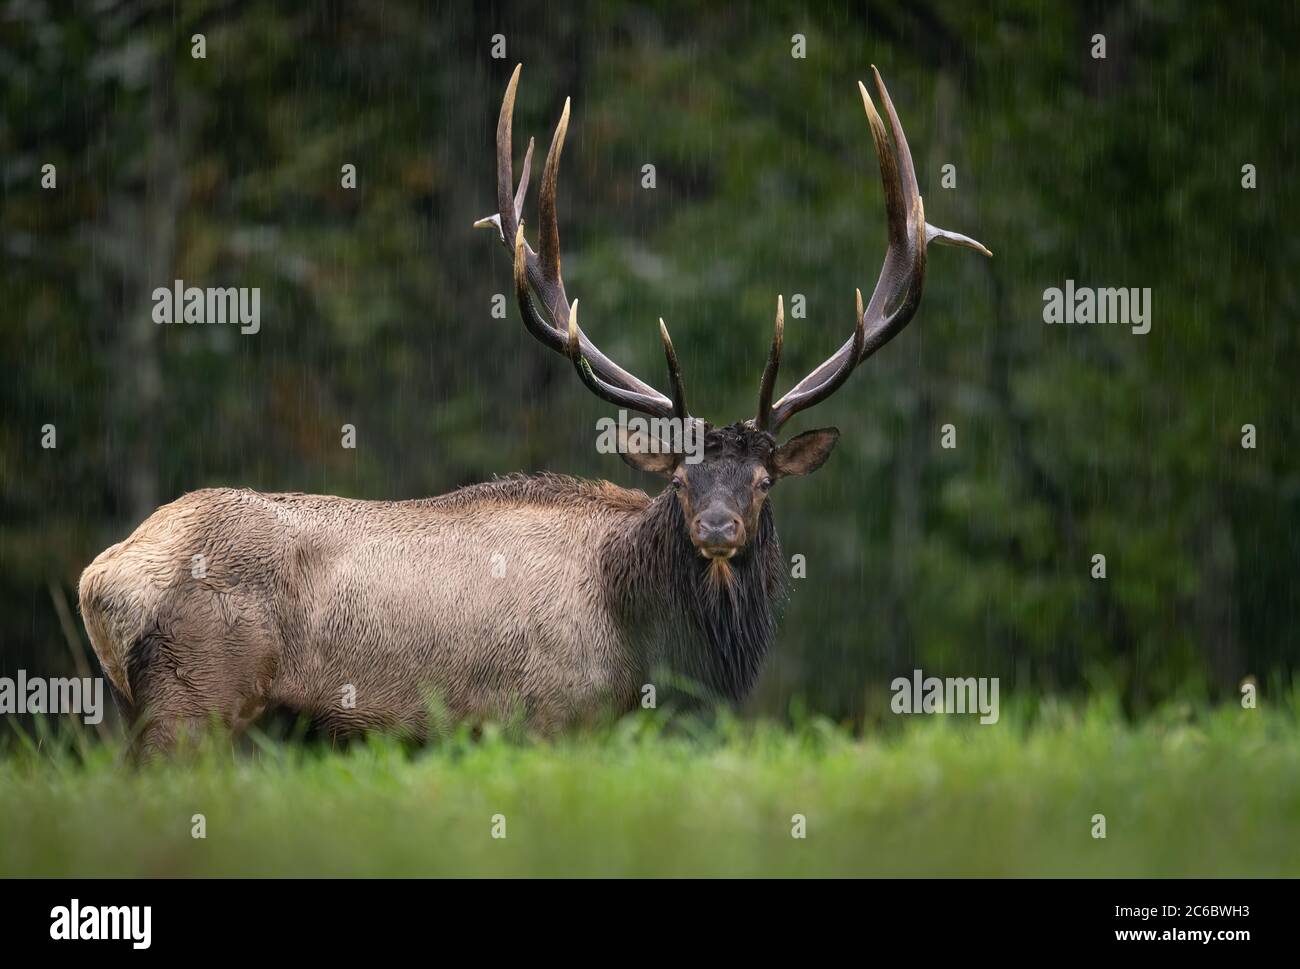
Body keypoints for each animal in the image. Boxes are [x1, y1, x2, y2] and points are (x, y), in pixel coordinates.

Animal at [78, 64, 989, 756]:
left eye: (765, 480)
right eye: (682, 480)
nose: (718, 529)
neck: (646, 645)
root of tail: (104, 578)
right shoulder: (549, 716)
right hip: (195, 702)